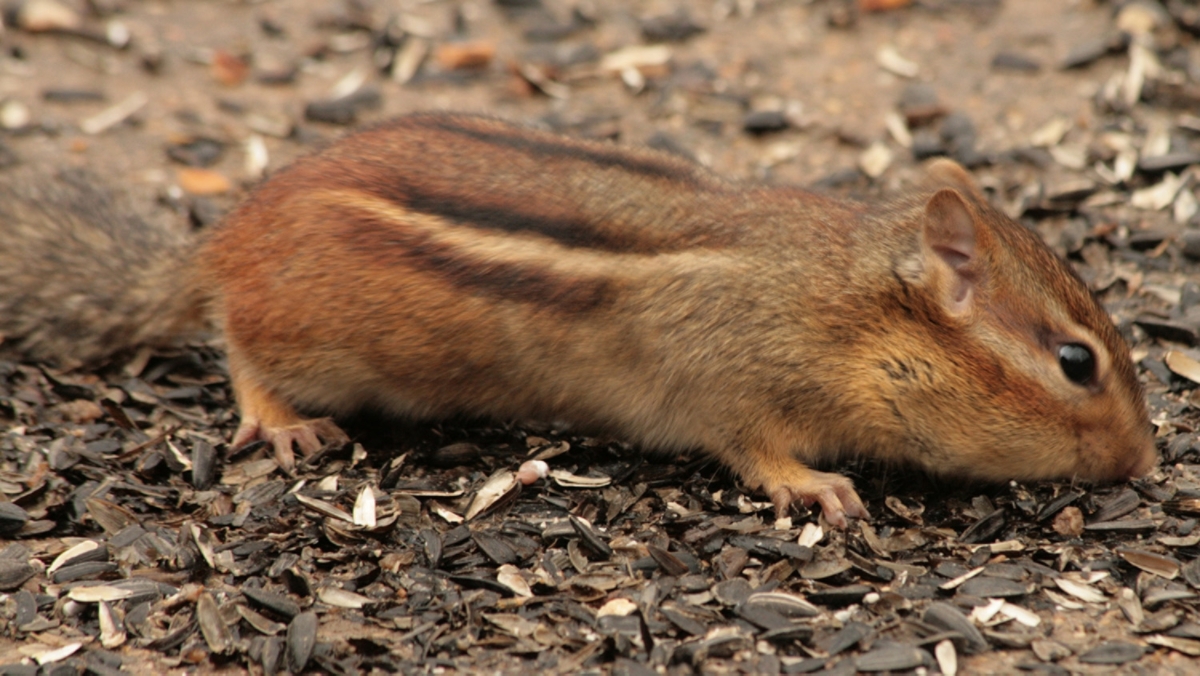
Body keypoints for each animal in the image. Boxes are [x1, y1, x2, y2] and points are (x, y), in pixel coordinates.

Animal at [0, 113, 1156, 528]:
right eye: (1076, 362)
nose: (1147, 462)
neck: (853, 307)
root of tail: (221, 237)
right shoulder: (735, 384)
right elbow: (756, 450)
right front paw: (817, 487)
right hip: (311, 338)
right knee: (238, 344)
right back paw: (279, 418)